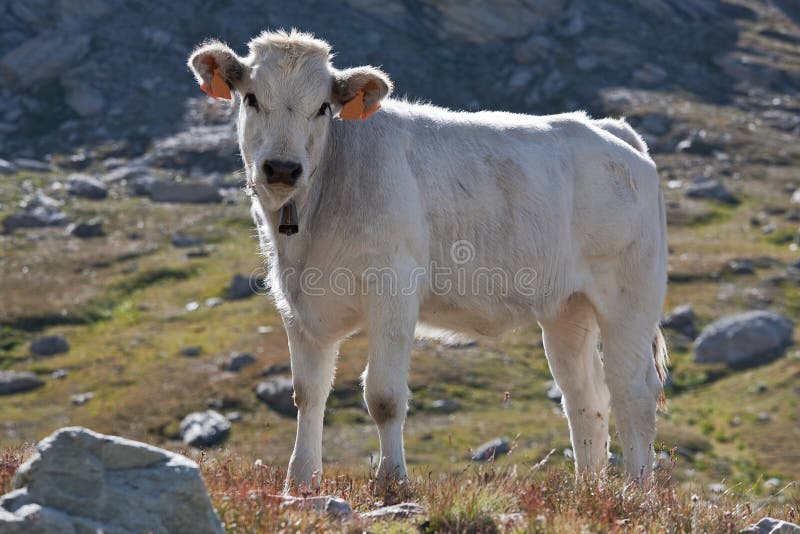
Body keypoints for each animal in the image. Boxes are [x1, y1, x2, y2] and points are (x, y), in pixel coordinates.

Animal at [188, 29, 668, 489]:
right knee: (585, 398)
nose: (283, 168)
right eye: (251, 97)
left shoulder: (393, 291)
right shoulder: (297, 304)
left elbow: (383, 397)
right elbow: (308, 393)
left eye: (323, 107)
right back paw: (589, 491)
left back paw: (635, 493)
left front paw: (392, 481)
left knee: (633, 390)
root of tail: (611, 131)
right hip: (567, 310)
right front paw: (301, 481)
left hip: (628, 297)